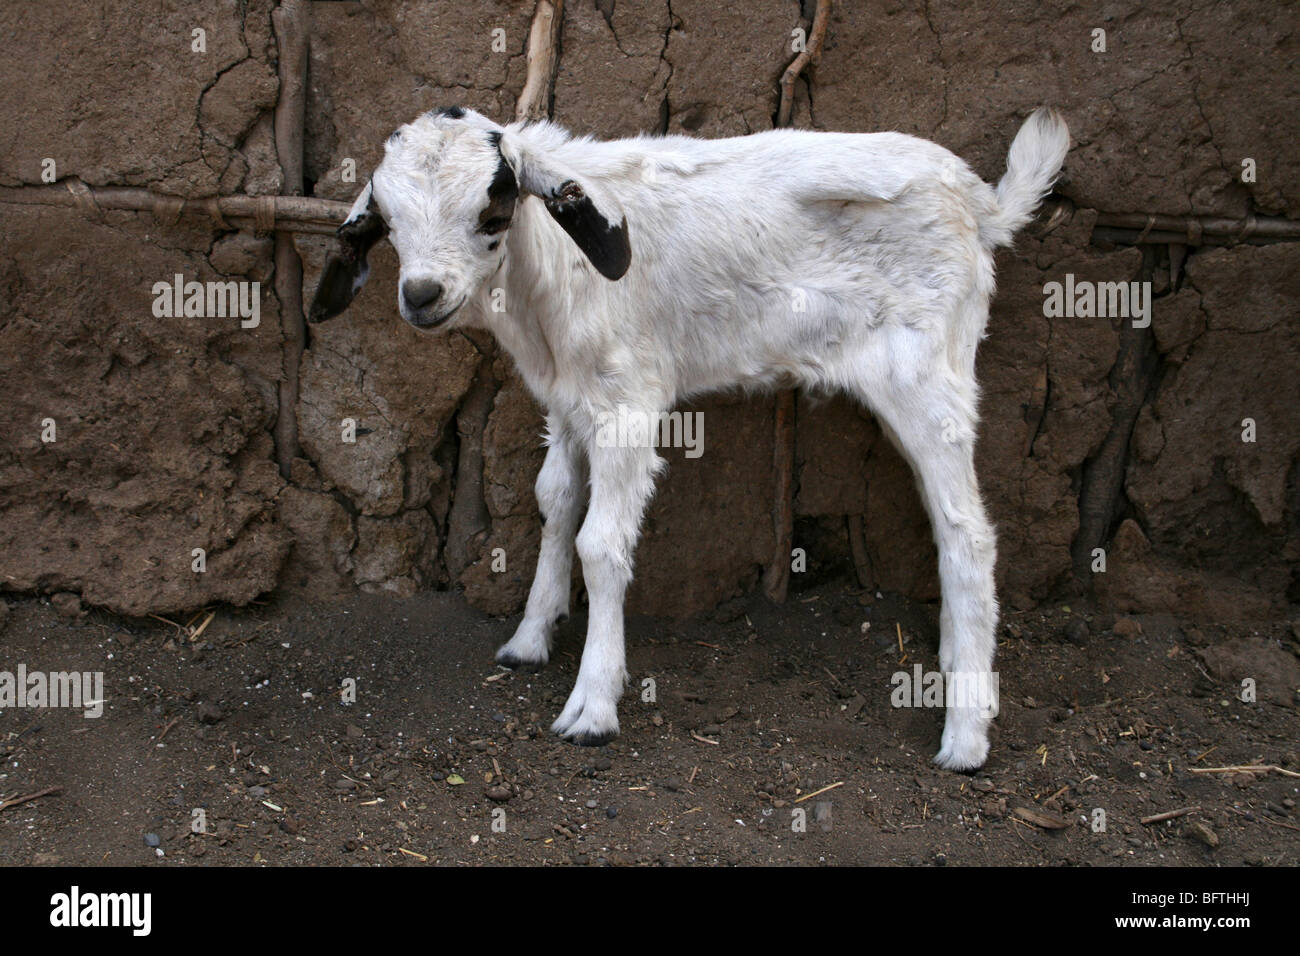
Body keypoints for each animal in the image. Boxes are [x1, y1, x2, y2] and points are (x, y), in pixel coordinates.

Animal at [309, 105, 1070, 770]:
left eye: (492, 215)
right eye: (390, 221)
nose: (422, 295)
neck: (553, 268)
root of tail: (978, 202)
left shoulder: (627, 403)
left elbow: (600, 544)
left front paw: (592, 705)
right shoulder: (569, 400)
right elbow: (554, 502)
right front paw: (528, 639)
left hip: (927, 378)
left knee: (968, 535)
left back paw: (966, 735)